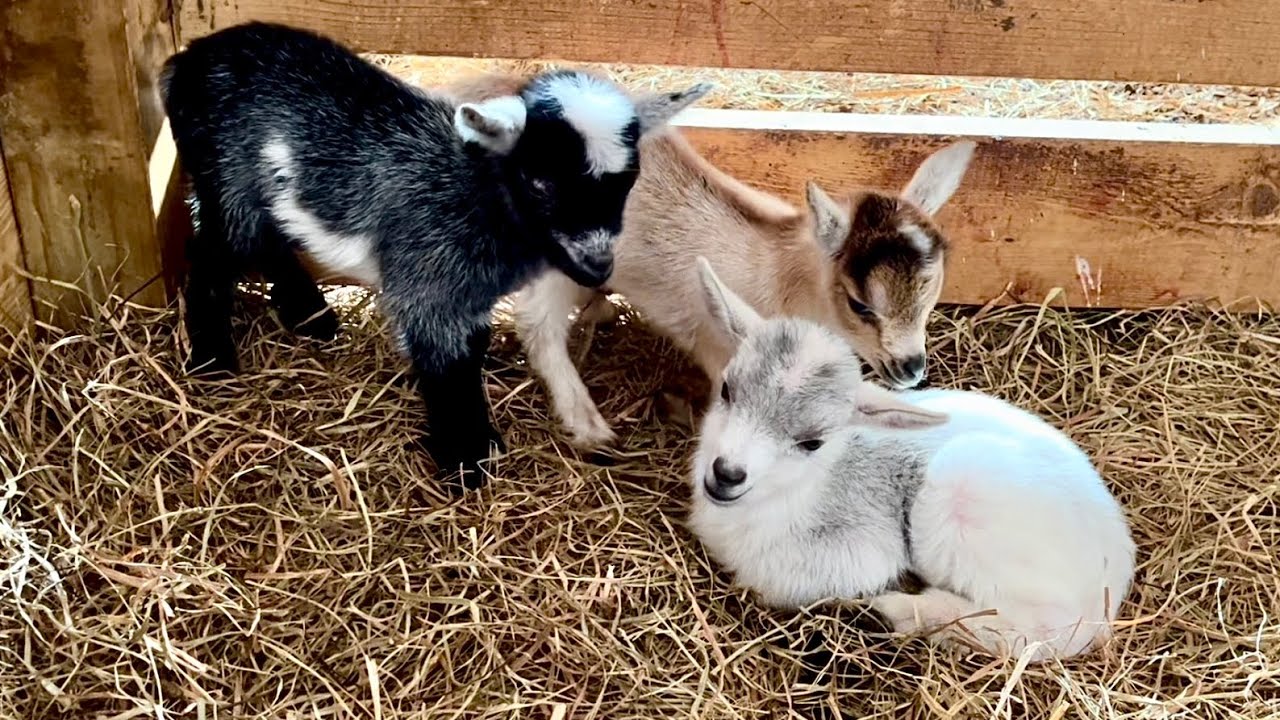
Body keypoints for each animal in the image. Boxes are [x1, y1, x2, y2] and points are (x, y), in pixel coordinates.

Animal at [160, 22, 709, 488]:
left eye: (627, 181)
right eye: (540, 181)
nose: (598, 267)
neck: (475, 190)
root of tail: (185, 59)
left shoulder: (467, 293)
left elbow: (473, 345)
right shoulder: (428, 281)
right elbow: (447, 365)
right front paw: (467, 460)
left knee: (267, 237)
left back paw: (310, 318)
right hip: (225, 175)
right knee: (213, 251)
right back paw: (213, 359)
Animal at [687, 257, 1136, 662]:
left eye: (813, 442)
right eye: (727, 390)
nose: (726, 473)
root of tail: (1111, 588)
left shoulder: (856, 556)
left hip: (966, 499)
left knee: (1043, 630)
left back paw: (907, 611)